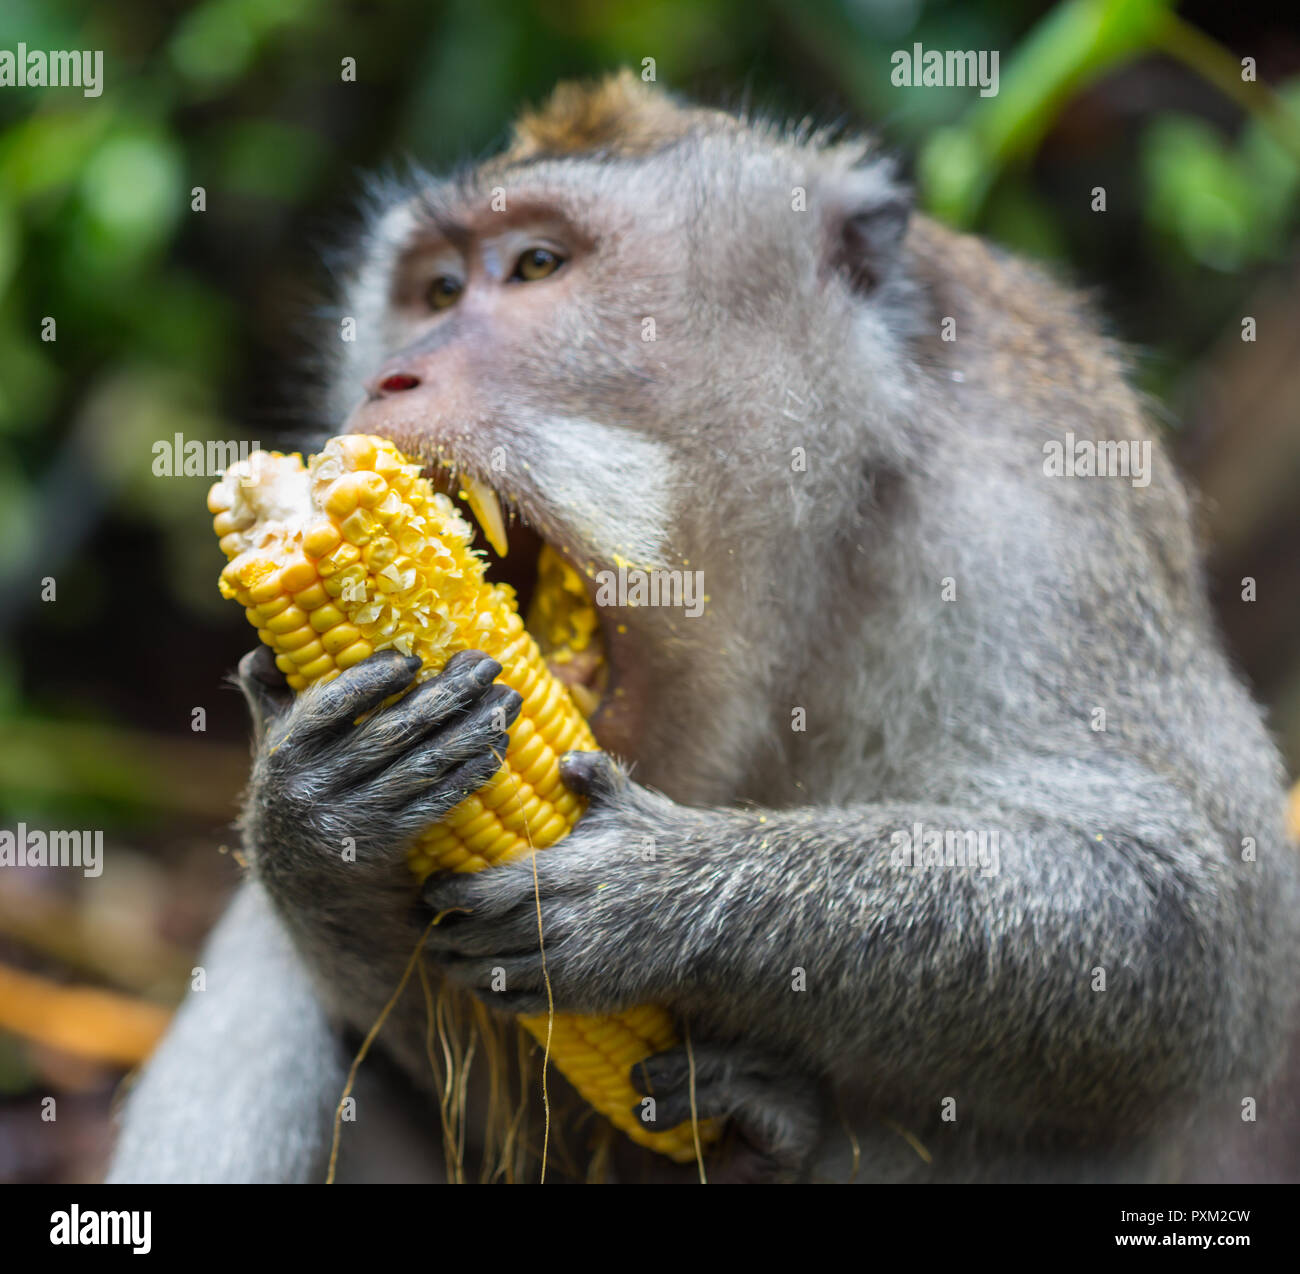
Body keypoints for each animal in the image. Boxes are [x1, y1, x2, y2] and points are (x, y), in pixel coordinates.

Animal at [108, 71, 1300, 1184]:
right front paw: (311, 822)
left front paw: (660, 893)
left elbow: (1185, 922)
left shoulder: (1028, 506)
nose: (391, 374)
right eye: (437, 288)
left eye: (535, 266)